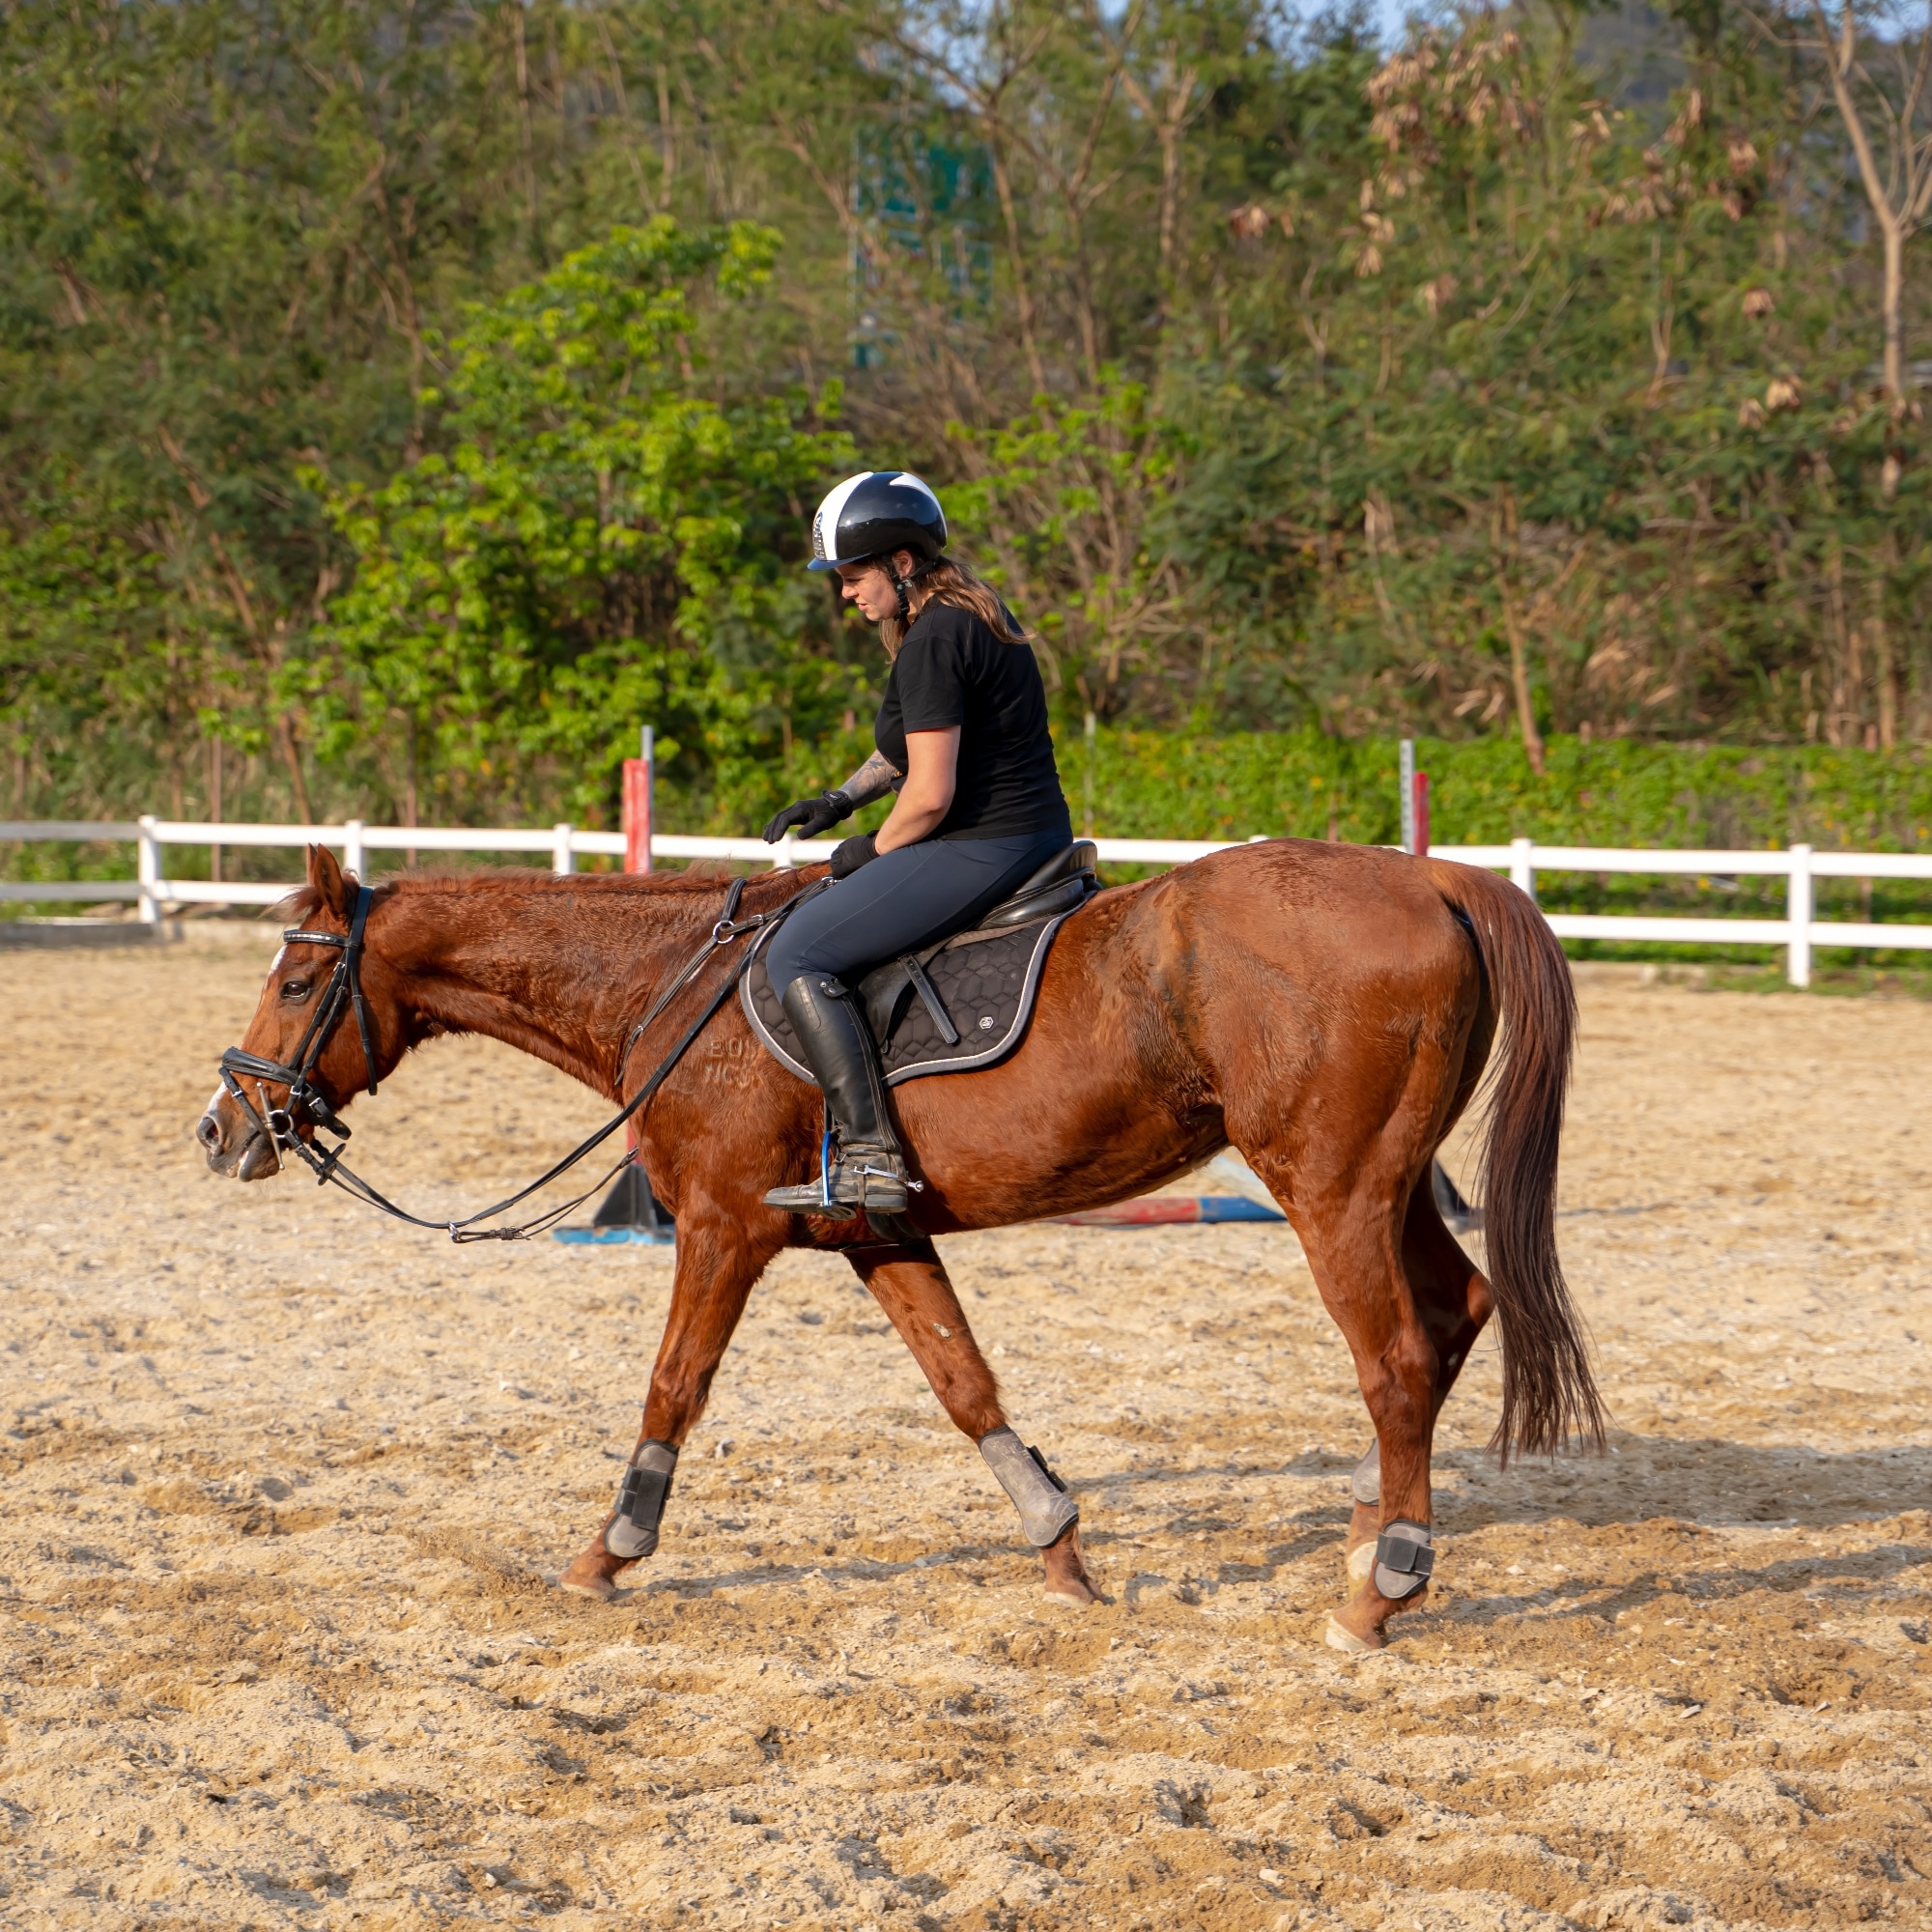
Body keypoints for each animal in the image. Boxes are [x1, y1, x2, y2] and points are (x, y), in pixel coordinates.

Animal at [192, 838, 1600, 1654]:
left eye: (296, 980)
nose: (224, 1129)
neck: (669, 986)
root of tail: (1435, 875)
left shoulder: (723, 1225)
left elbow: (673, 1385)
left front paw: (608, 1553)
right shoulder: (880, 1233)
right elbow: (962, 1380)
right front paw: (1061, 1549)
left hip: (1330, 1186)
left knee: (1395, 1356)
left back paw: (1378, 1594)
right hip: (1386, 1180)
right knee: (1457, 1311)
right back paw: (1374, 1530)